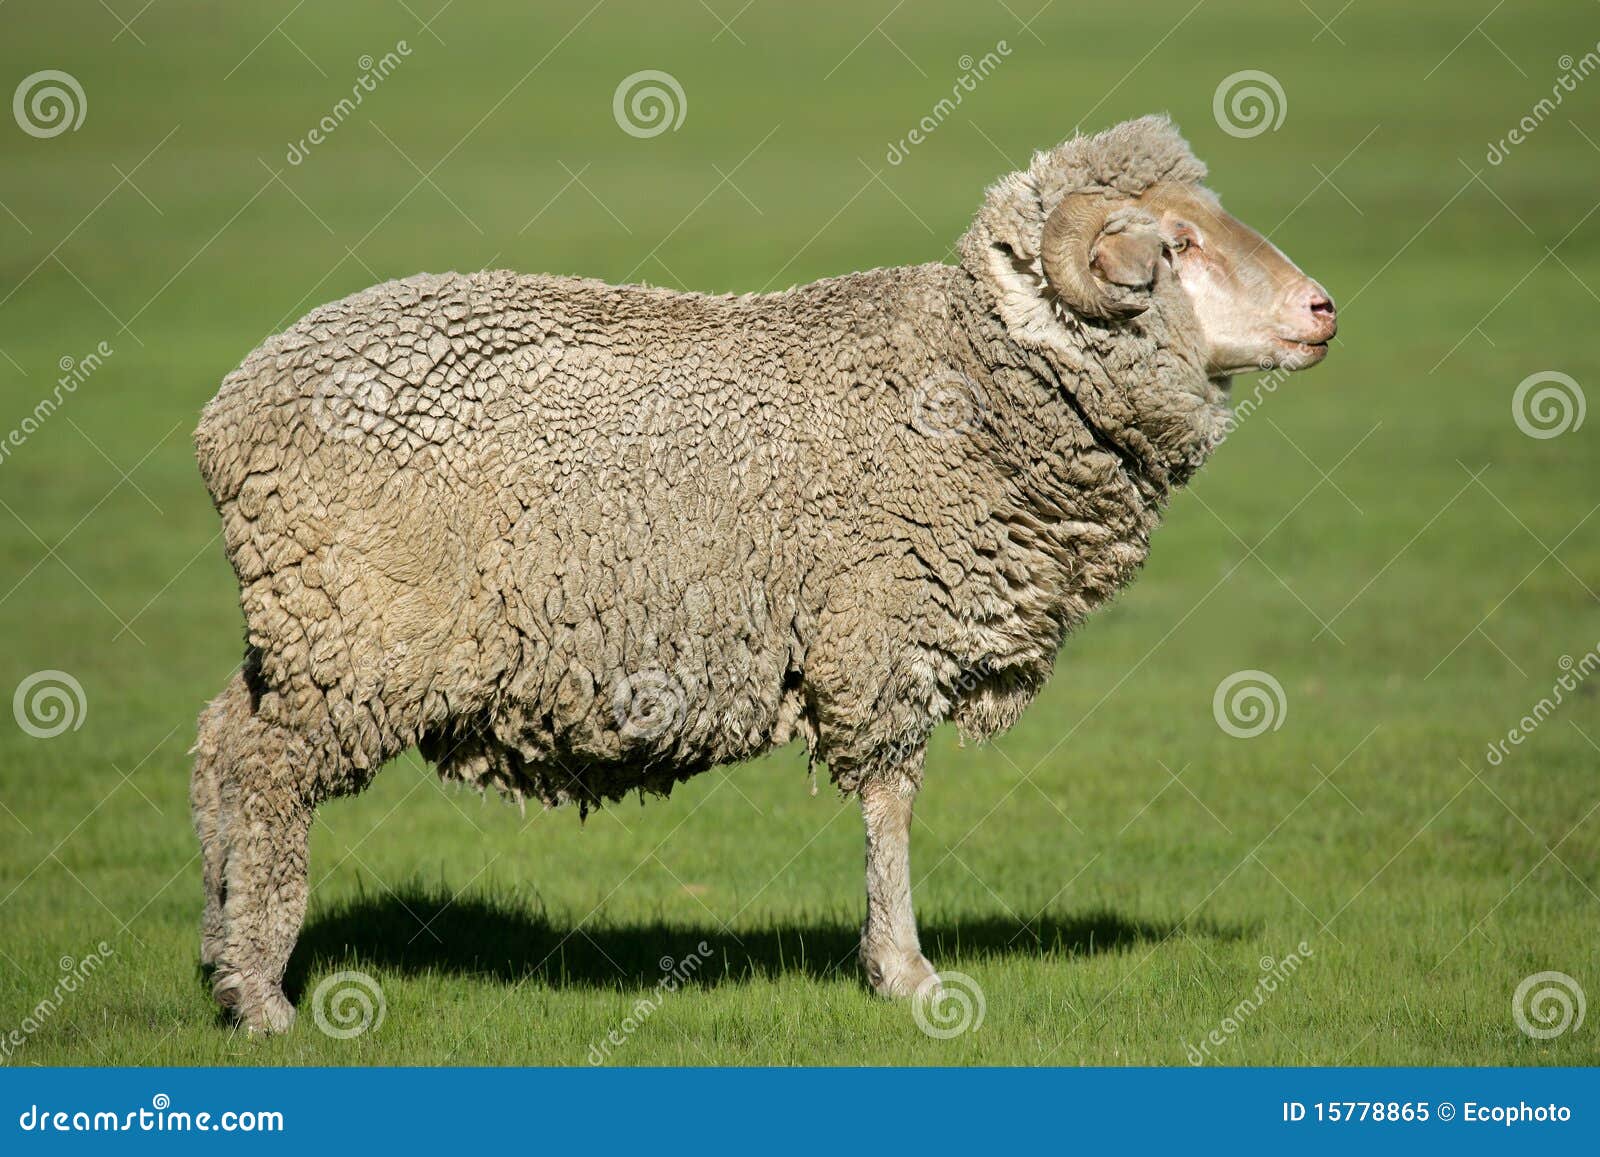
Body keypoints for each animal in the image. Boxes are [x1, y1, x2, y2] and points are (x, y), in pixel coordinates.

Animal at [192, 115, 1336, 1032]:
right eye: (1176, 243)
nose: (1324, 310)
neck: (975, 382)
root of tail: (229, 409)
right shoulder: (879, 628)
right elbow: (890, 800)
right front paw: (907, 972)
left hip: (301, 626)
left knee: (218, 743)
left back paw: (220, 948)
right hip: (355, 635)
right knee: (266, 771)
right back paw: (264, 994)